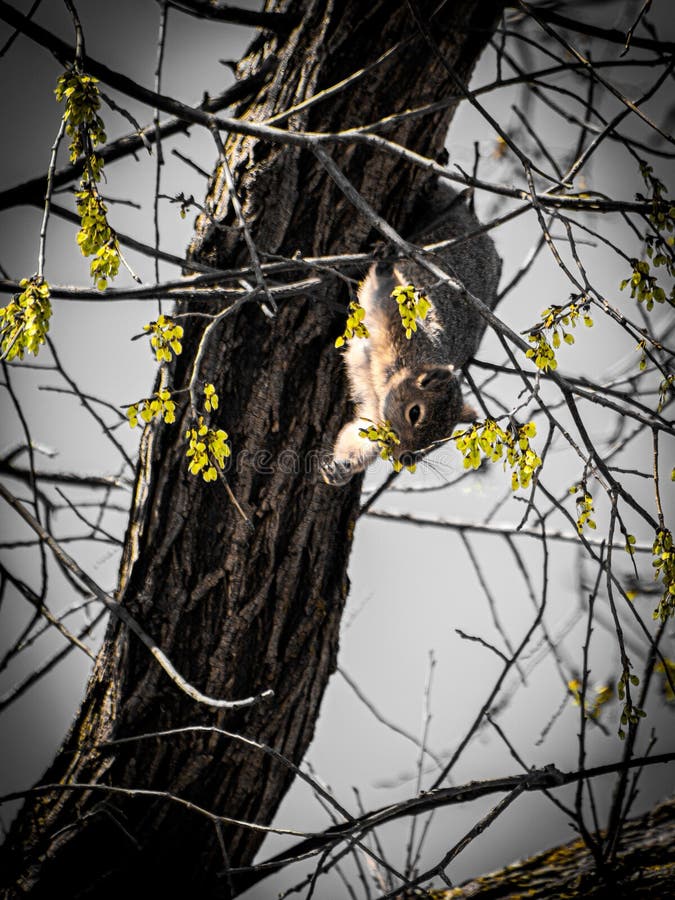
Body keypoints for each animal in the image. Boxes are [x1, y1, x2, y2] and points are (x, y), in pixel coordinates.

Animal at [322, 181, 502, 485]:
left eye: (440, 439)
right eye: (415, 412)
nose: (405, 458)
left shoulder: (376, 412)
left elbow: (361, 433)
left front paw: (341, 468)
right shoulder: (400, 328)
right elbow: (387, 291)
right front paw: (384, 263)